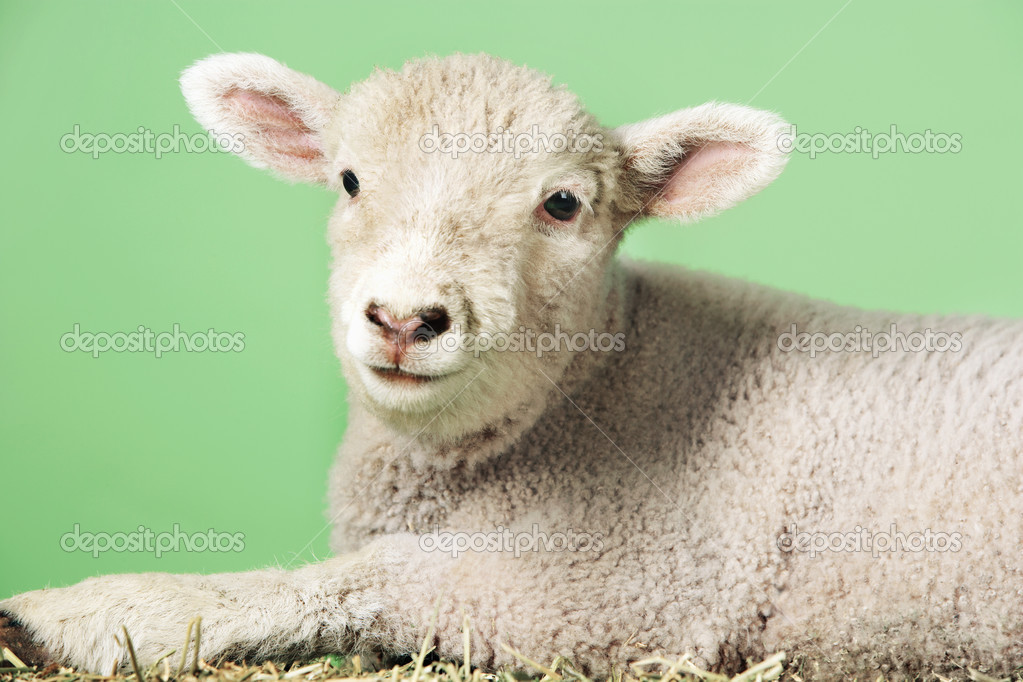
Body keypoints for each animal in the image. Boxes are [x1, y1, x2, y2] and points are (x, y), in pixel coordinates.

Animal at [2, 52, 1021, 681]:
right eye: (348, 180)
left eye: (562, 204)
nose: (403, 318)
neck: (589, 387)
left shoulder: (630, 579)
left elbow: (369, 578)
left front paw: (99, 610)